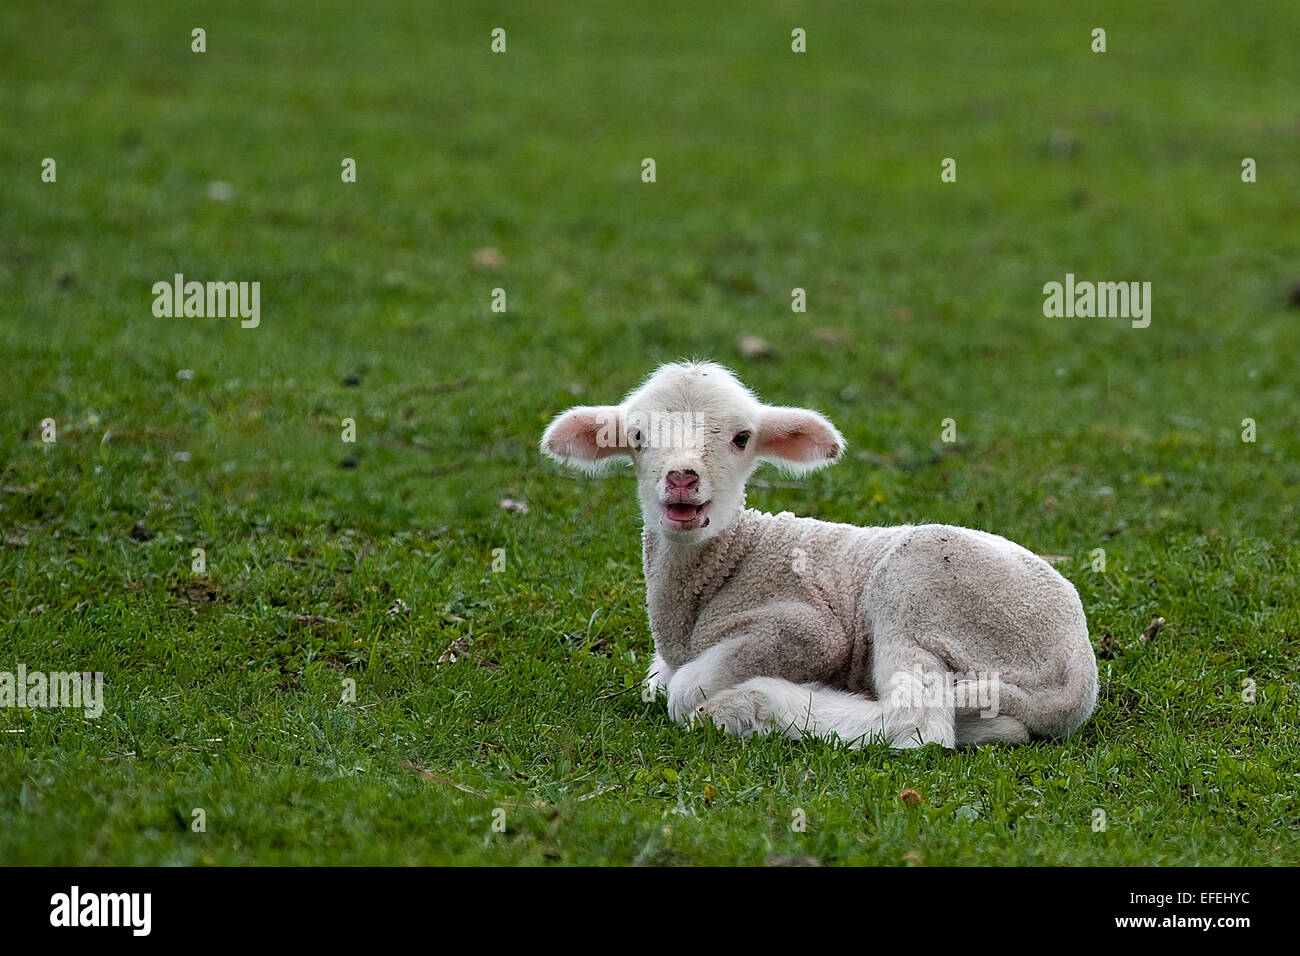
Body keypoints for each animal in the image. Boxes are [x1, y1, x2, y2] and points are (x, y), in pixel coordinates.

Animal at [541, 361, 1098, 749]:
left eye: (741, 438)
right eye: (637, 437)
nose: (682, 478)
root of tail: (1077, 675)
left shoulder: (808, 629)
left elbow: (684, 690)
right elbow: (657, 682)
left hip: (917, 587)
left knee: (917, 724)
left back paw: (753, 706)